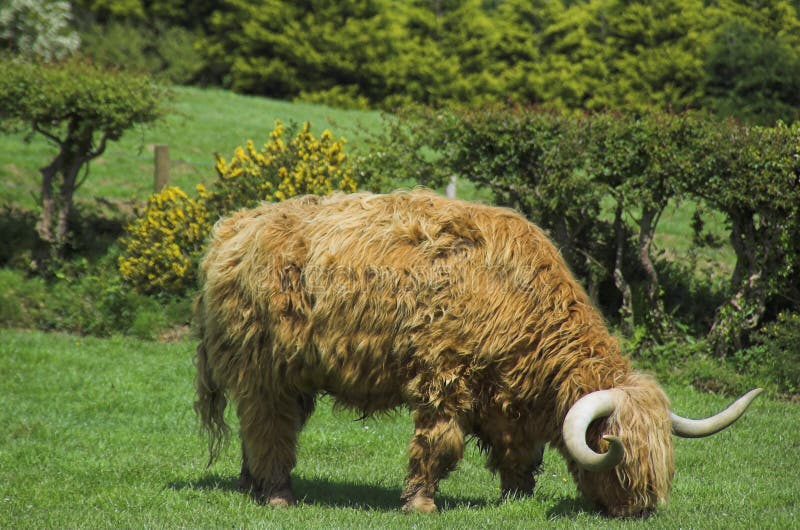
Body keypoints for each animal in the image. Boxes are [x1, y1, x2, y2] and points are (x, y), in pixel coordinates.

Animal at [193, 190, 760, 516]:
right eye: (618, 454)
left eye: (663, 460)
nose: (641, 510)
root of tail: (233, 227)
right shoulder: (443, 376)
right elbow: (439, 444)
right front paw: (421, 504)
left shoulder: (509, 394)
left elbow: (519, 453)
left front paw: (518, 495)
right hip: (263, 367)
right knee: (269, 424)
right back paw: (276, 493)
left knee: (260, 425)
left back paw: (251, 483)